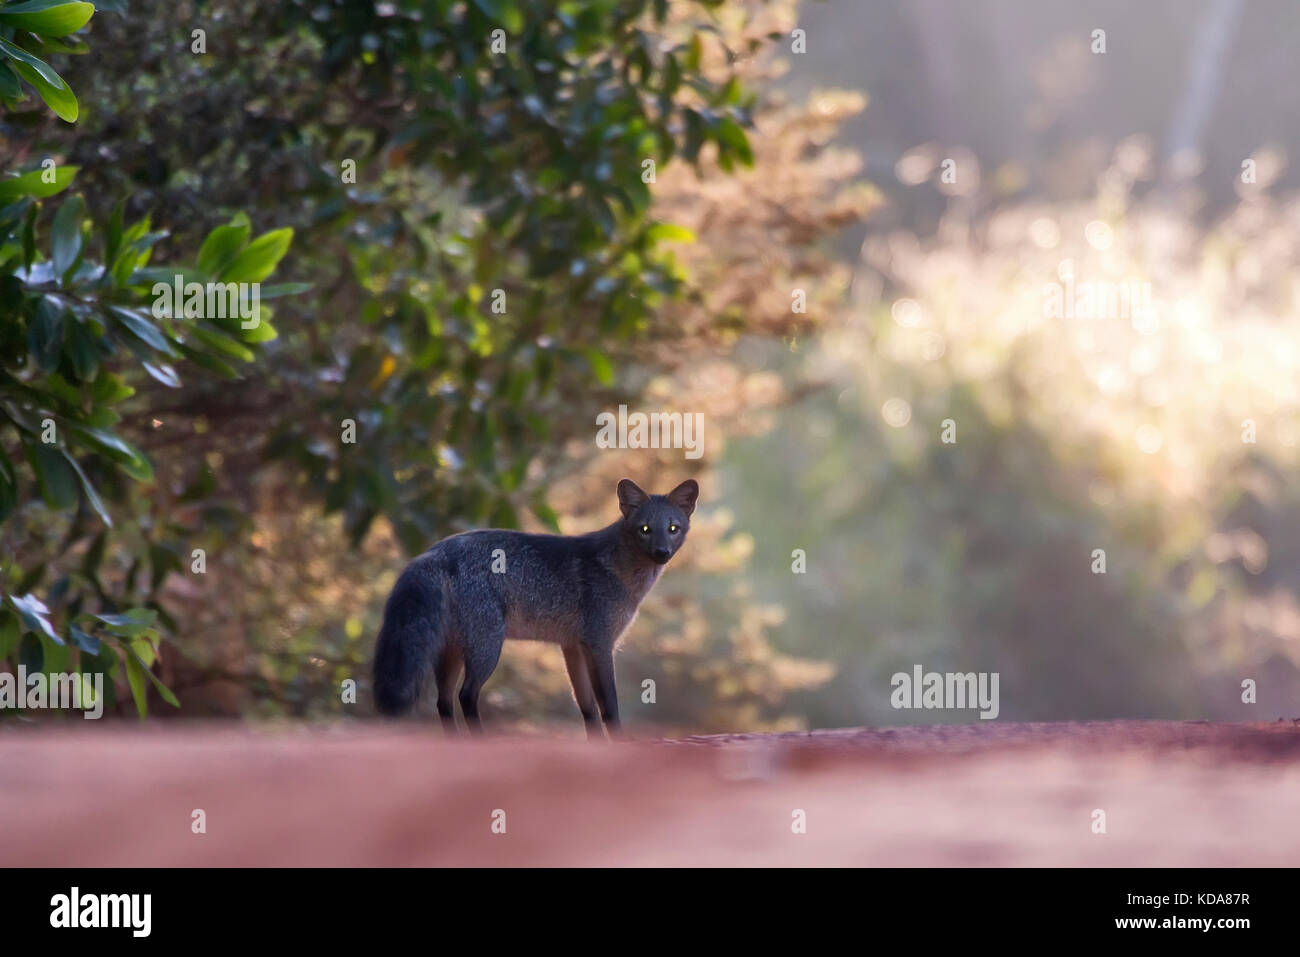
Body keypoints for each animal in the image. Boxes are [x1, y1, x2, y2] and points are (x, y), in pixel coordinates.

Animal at [372, 478, 698, 737]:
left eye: (672, 528)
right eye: (645, 529)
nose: (661, 552)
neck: (618, 569)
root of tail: (434, 551)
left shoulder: (572, 647)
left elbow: (588, 709)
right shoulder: (600, 644)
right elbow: (609, 707)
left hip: (452, 652)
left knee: (443, 703)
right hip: (487, 647)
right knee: (466, 695)